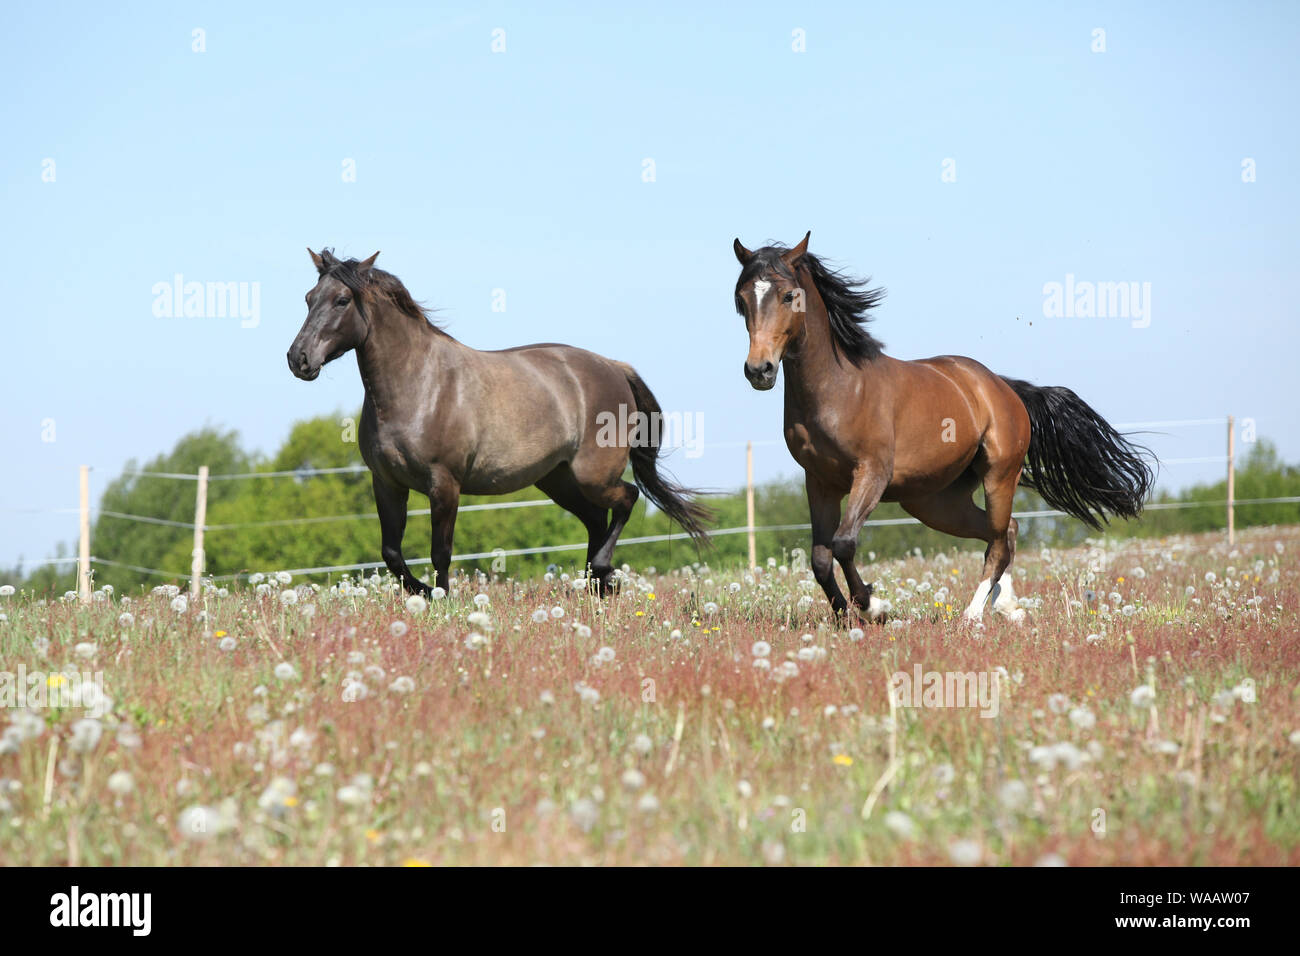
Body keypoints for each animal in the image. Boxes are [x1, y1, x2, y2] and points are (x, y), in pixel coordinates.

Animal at [287, 248, 711, 597]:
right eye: (308, 299)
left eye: (342, 300)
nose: (298, 359)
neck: (418, 386)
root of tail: (614, 367)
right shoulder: (387, 483)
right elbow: (391, 551)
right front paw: (421, 591)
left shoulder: (445, 484)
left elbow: (441, 552)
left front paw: (441, 598)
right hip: (557, 479)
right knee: (595, 520)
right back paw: (597, 584)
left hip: (593, 475)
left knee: (627, 499)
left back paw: (603, 573)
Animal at [733, 232, 1154, 625]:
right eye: (741, 300)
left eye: (788, 295)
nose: (759, 370)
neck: (839, 388)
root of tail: (1001, 387)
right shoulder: (819, 481)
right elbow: (820, 559)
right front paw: (846, 616)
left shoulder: (871, 473)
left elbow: (844, 544)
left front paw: (873, 607)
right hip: (934, 502)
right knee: (1006, 532)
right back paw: (1009, 608)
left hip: (999, 477)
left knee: (999, 540)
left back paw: (974, 614)